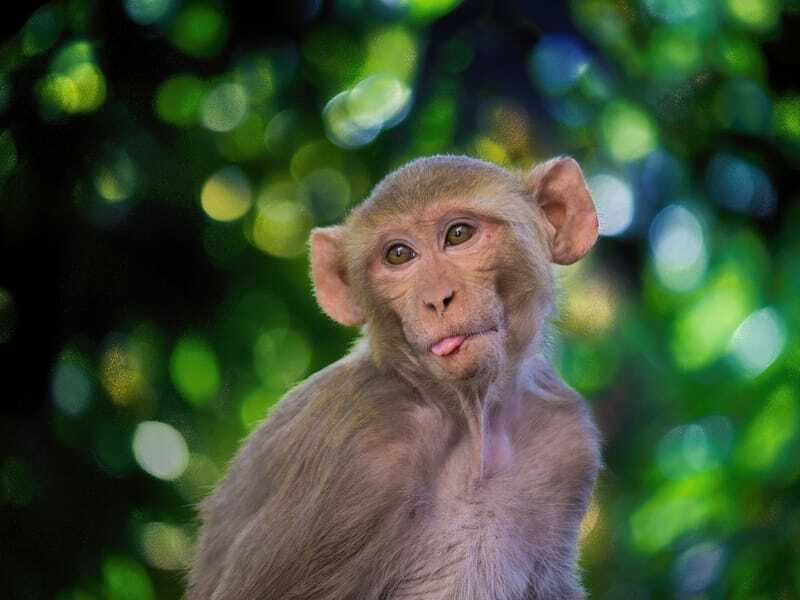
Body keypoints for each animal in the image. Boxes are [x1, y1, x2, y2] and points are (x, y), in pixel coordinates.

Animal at [188, 156, 600, 600]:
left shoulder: (567, 439)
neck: (470, 421)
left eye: (459, 234)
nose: (437, 299)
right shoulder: (357, 450)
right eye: (399, 255)